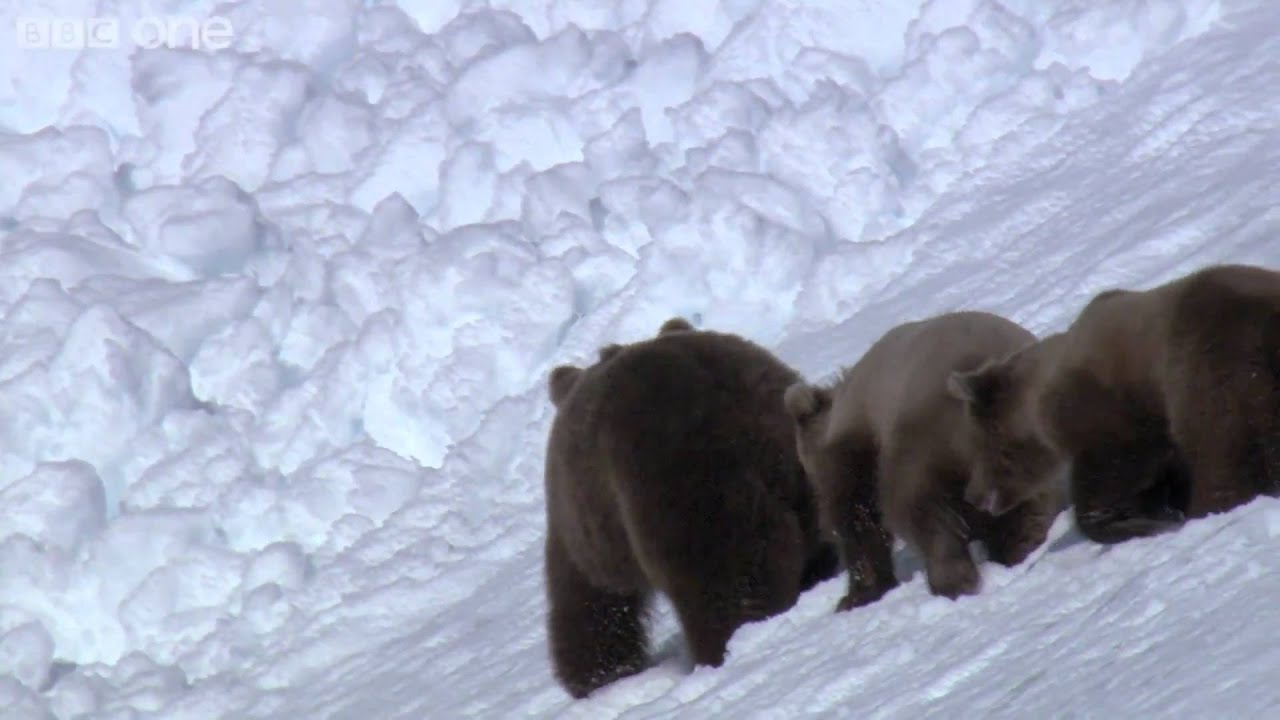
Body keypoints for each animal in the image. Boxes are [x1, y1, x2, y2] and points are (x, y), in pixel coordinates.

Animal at [543, 318, 838, 698]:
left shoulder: (584, 526)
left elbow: (587, 603)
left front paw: (599, 677)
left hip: (686, 488)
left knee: (727, 582)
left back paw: (727, 645)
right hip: (799, 465)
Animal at [949, 263, 1280, 545]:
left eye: (980, 443)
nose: (973, 495)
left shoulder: (1113, 418)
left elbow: (1111, 477)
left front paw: (1124, 520)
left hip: (1210, 376)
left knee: (1219, 461)